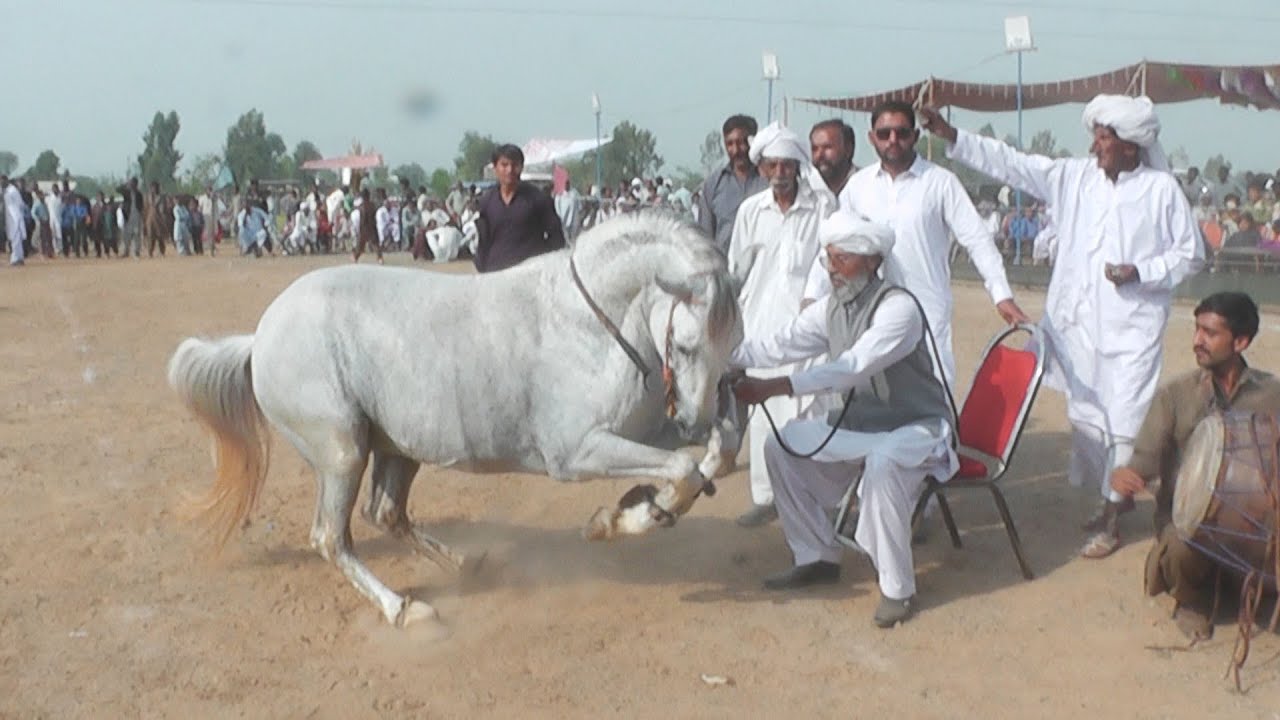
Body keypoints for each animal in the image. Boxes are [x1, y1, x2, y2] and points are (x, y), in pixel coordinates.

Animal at [167, 213, 743, 627]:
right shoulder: (578, 452)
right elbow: (684, 470)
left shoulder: (641, 432)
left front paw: (641, 506)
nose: (693, 418)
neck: (585, 324)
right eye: (685, 344)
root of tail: (262, 335)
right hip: (342, 452)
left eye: (732, 341)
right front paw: (626, 516)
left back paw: (470, 565)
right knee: (332, 538)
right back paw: (405, 609)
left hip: (396, 448)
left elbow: (719, 450)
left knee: (386, 515)